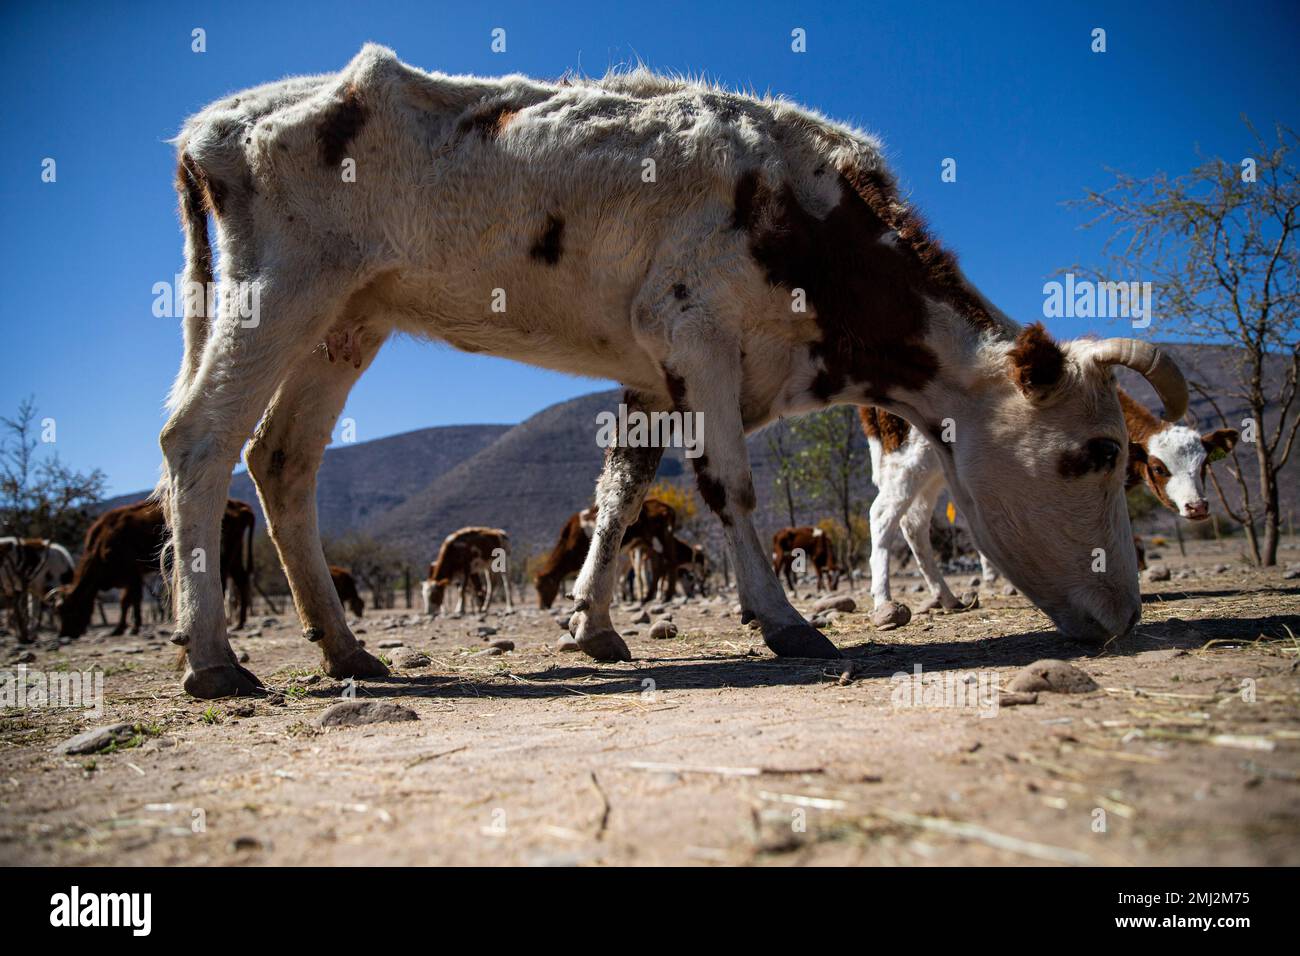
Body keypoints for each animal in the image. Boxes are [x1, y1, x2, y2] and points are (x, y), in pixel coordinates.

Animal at [56, 499, 255, 638]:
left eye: (70, 609)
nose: (65, 634)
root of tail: (241, 506)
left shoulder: (132, 573)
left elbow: (127, 601)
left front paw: (126, 628)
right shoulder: (133, 576)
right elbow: (131, 600)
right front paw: (127, 627)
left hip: (225, 556)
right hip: (235, 556)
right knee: (242, 580)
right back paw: (239, 622)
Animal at [536, 499, 676, 609]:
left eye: (542, 587)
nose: (542, 606)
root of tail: (663, 506)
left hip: (659, 538)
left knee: (666, 563)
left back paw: (659, 596)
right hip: (651, 542)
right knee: (662, 564)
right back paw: (655, 597)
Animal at [860, 390, 1236, 614]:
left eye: (1205, 464)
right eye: (1159, 467)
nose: (1197, 507)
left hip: (932, 472)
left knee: (914, 523)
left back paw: (947, 598)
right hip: (913, 460)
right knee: (882, 514)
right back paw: (885, 601)